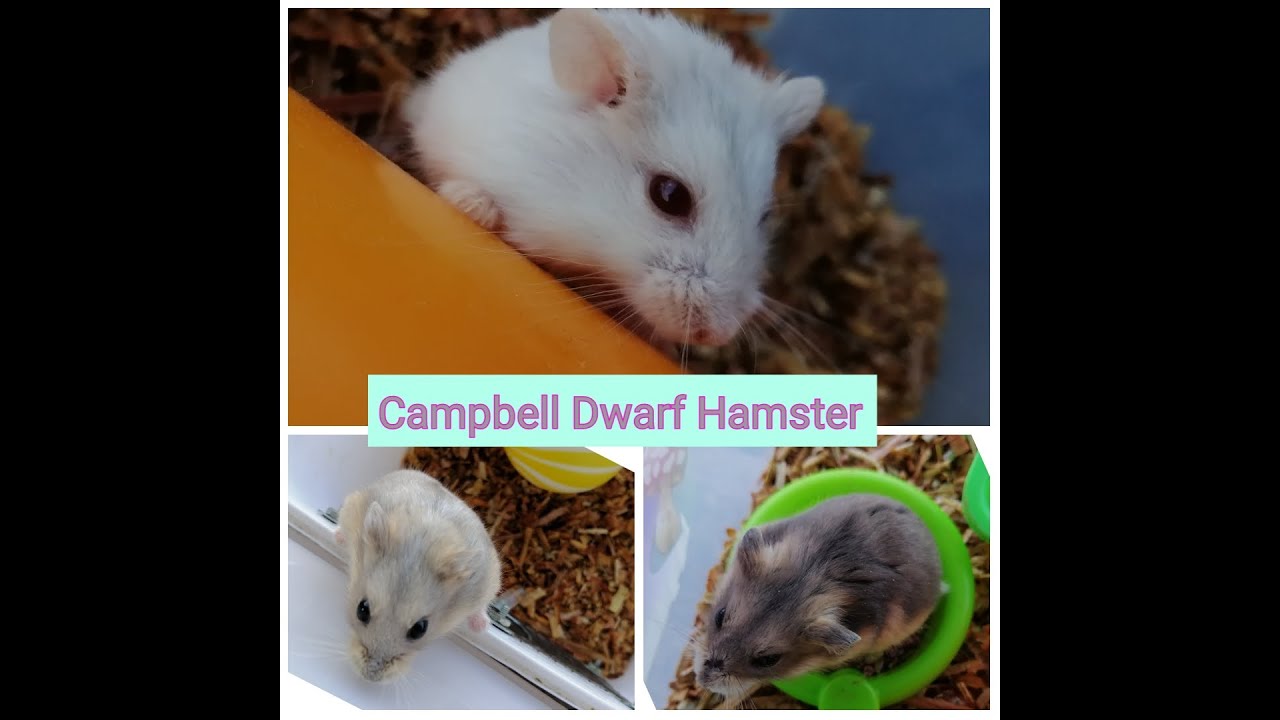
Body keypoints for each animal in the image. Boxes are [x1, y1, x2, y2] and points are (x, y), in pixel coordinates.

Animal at [335, 469, 502, 683]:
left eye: (420, 629)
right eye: (361, 610)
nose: (371, 676)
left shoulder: (485, 581)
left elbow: (480, 606)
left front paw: (480, 628)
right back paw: (338, 537)